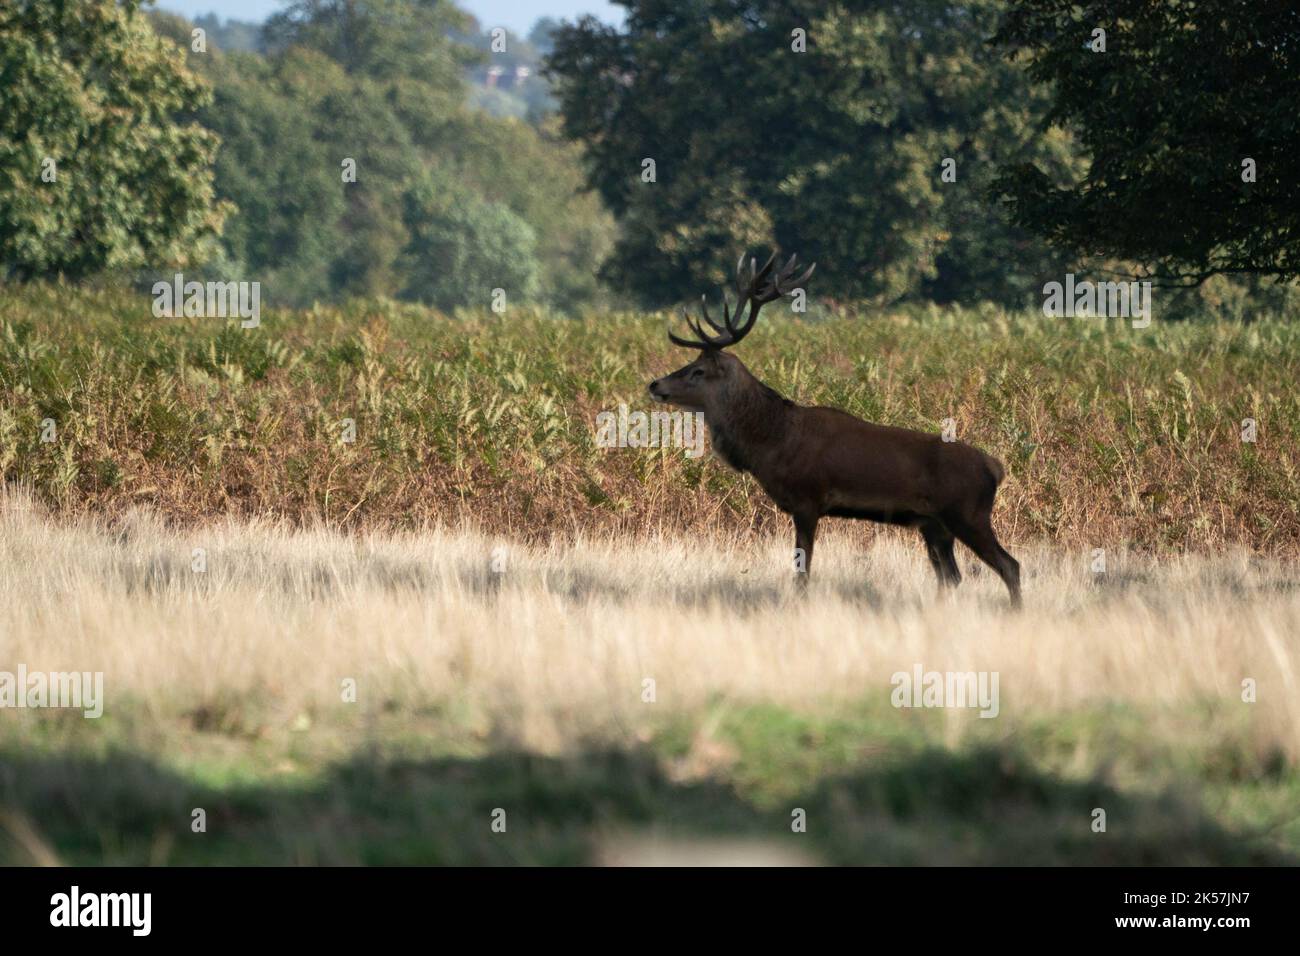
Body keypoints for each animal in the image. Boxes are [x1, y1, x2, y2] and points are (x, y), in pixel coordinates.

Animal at [647, 252, 1022, 608]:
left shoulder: (807, 499)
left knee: (1009, 565)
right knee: (951, 576)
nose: (655, 384)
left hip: (968, 513)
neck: (771, 444)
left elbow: (803, 573)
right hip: (934, 524)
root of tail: (995, 467)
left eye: (698, 371)